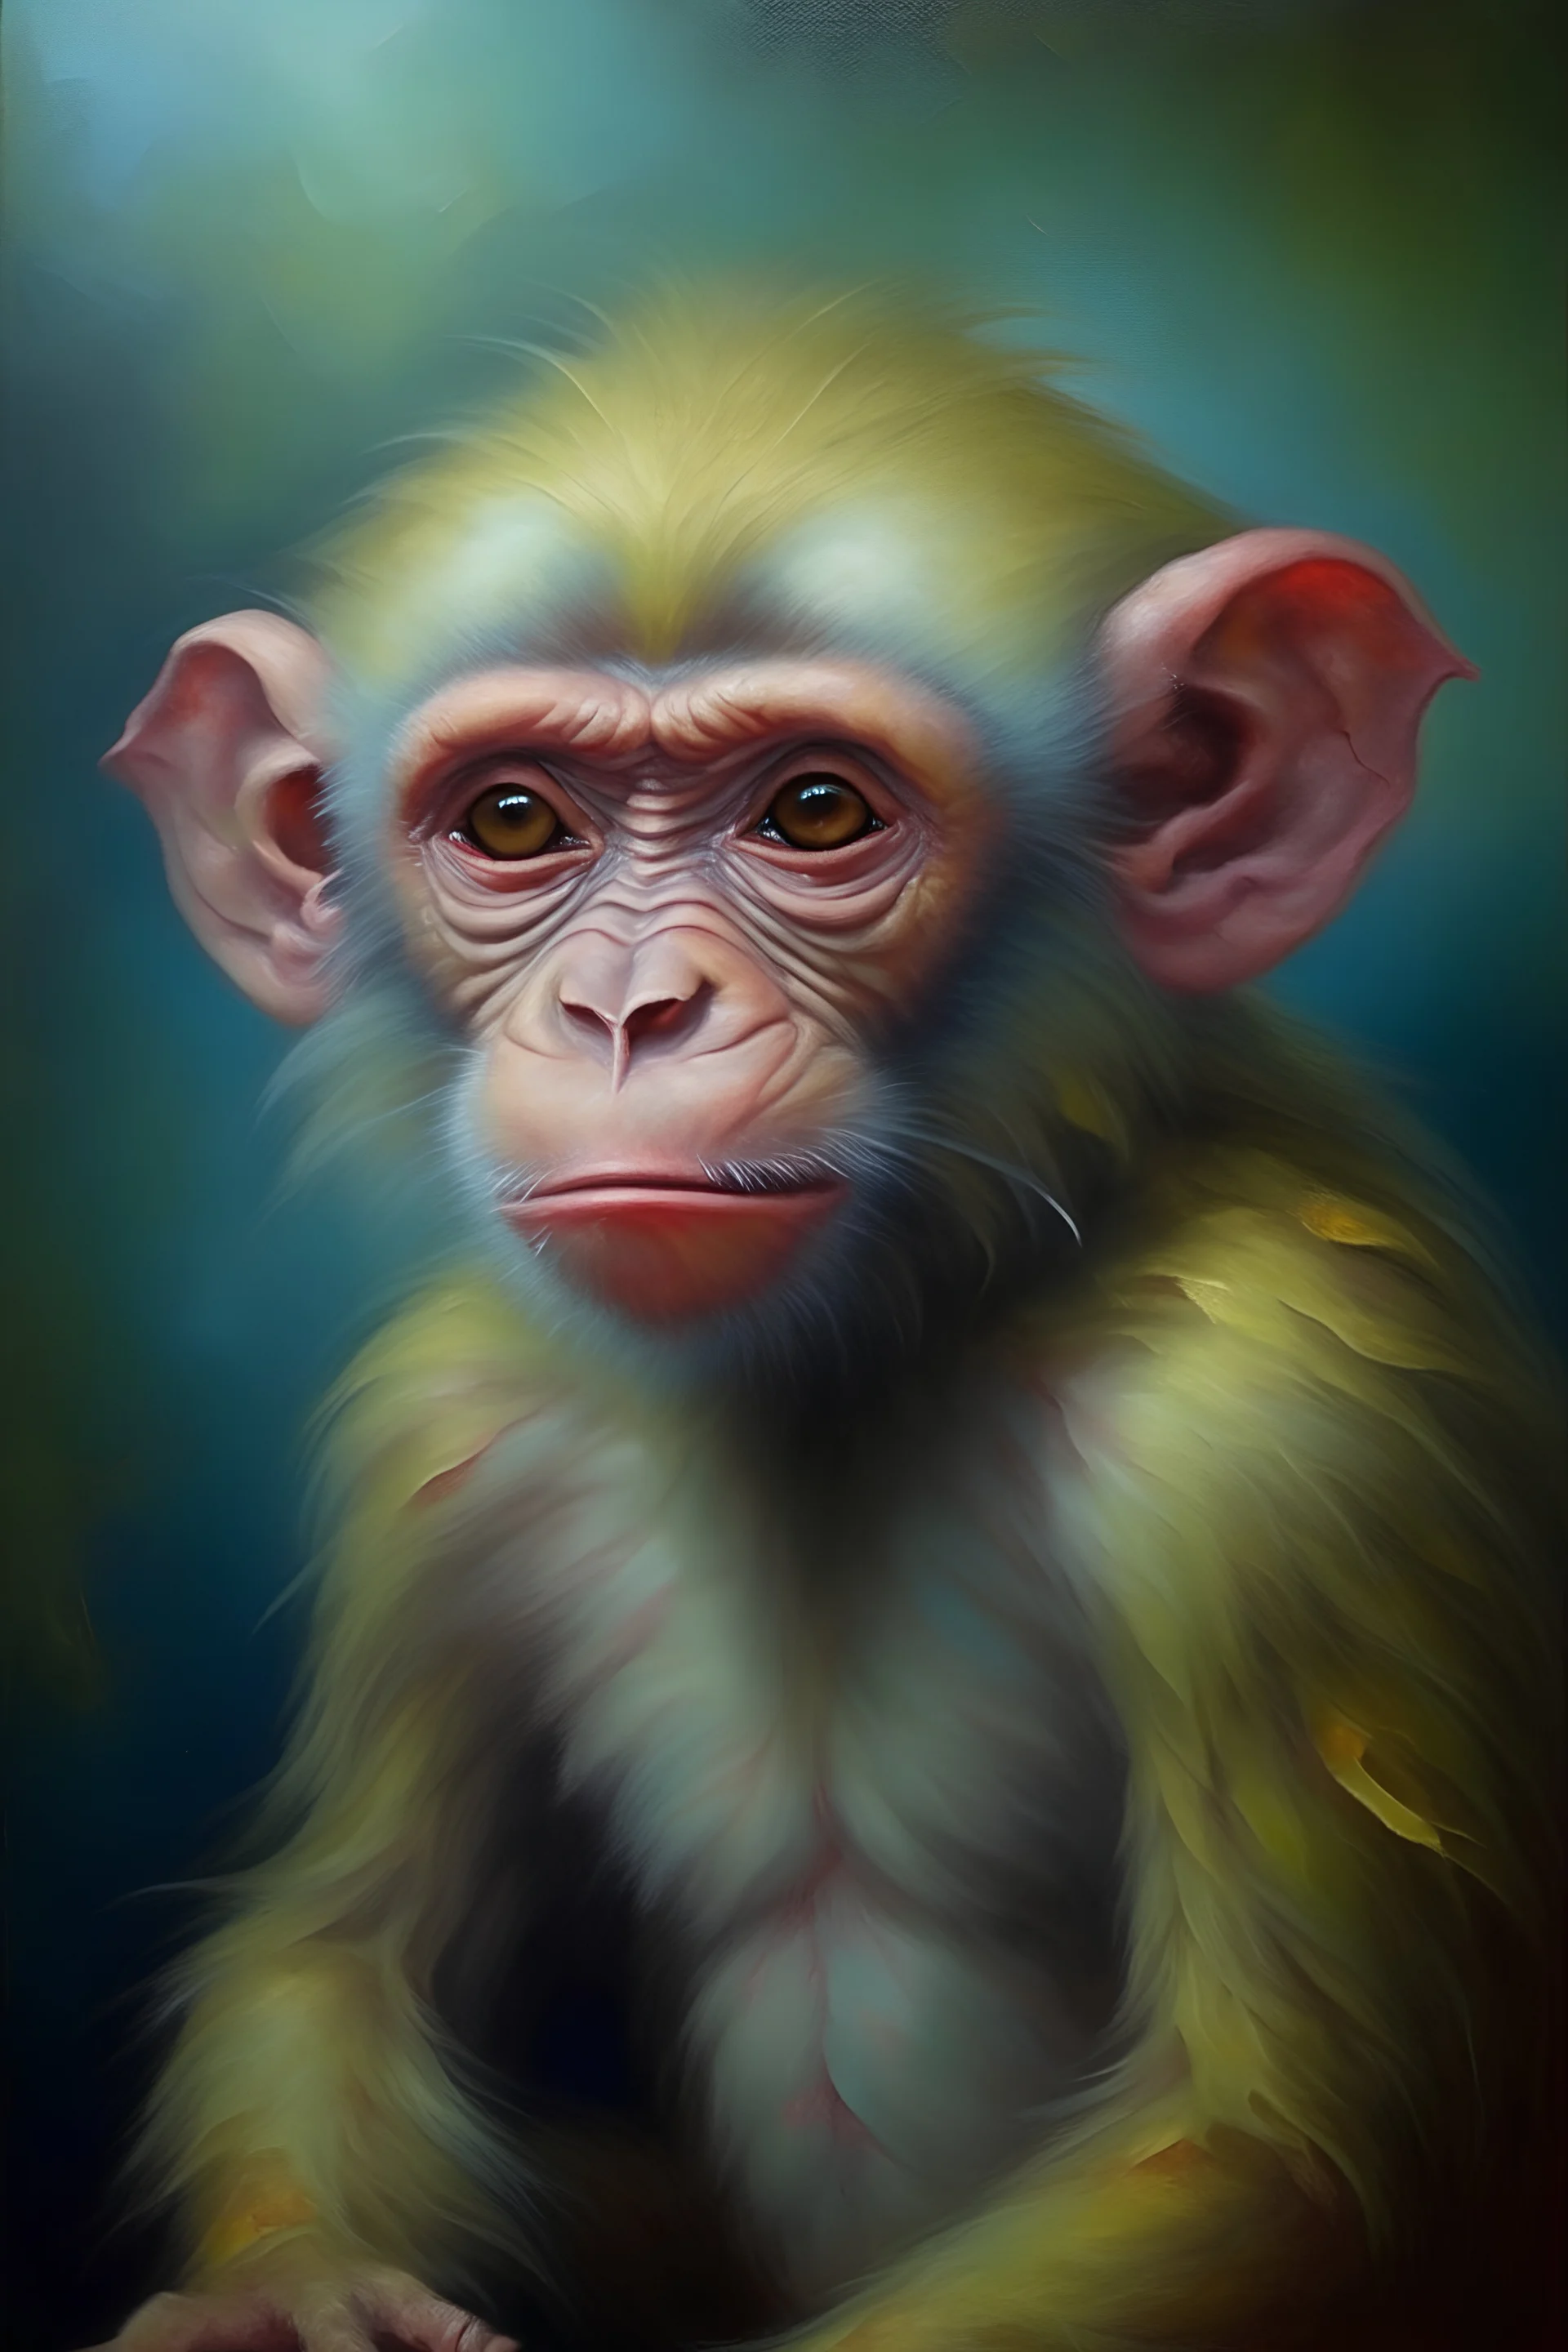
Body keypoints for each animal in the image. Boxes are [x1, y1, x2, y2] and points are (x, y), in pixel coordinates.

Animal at [92, 285, 1559, 2352]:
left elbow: (1281, 2148)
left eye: (814, 809)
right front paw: (284, 2289)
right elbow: (345, 1934)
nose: (629, 1012)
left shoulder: (1285, 1414)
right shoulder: (435, 1434)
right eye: (514, 820)